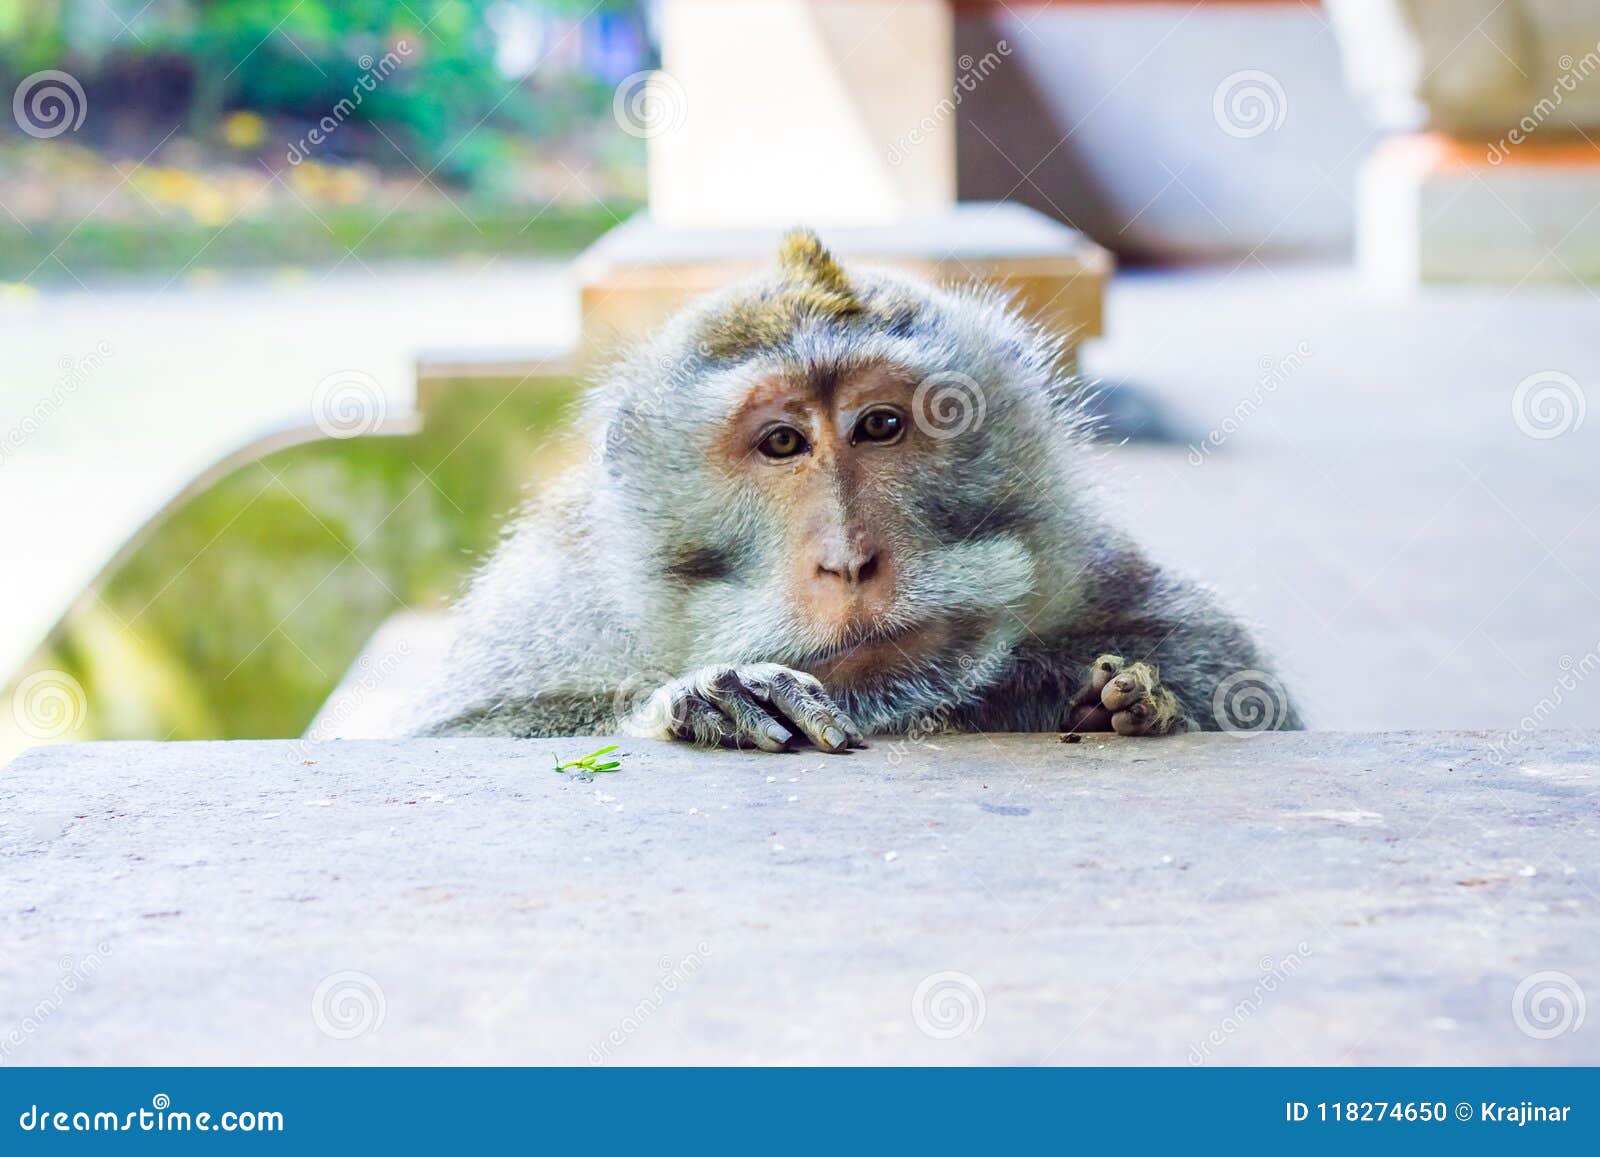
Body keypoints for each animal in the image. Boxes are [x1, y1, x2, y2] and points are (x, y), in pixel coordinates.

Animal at [407, 230, 1302, 749]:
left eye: (880, 425)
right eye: (782, 442)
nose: (848, 560)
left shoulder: (1138, 597)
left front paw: (1106, 699)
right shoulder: (548, 597)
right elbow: (468, 730)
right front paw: (713, 698)